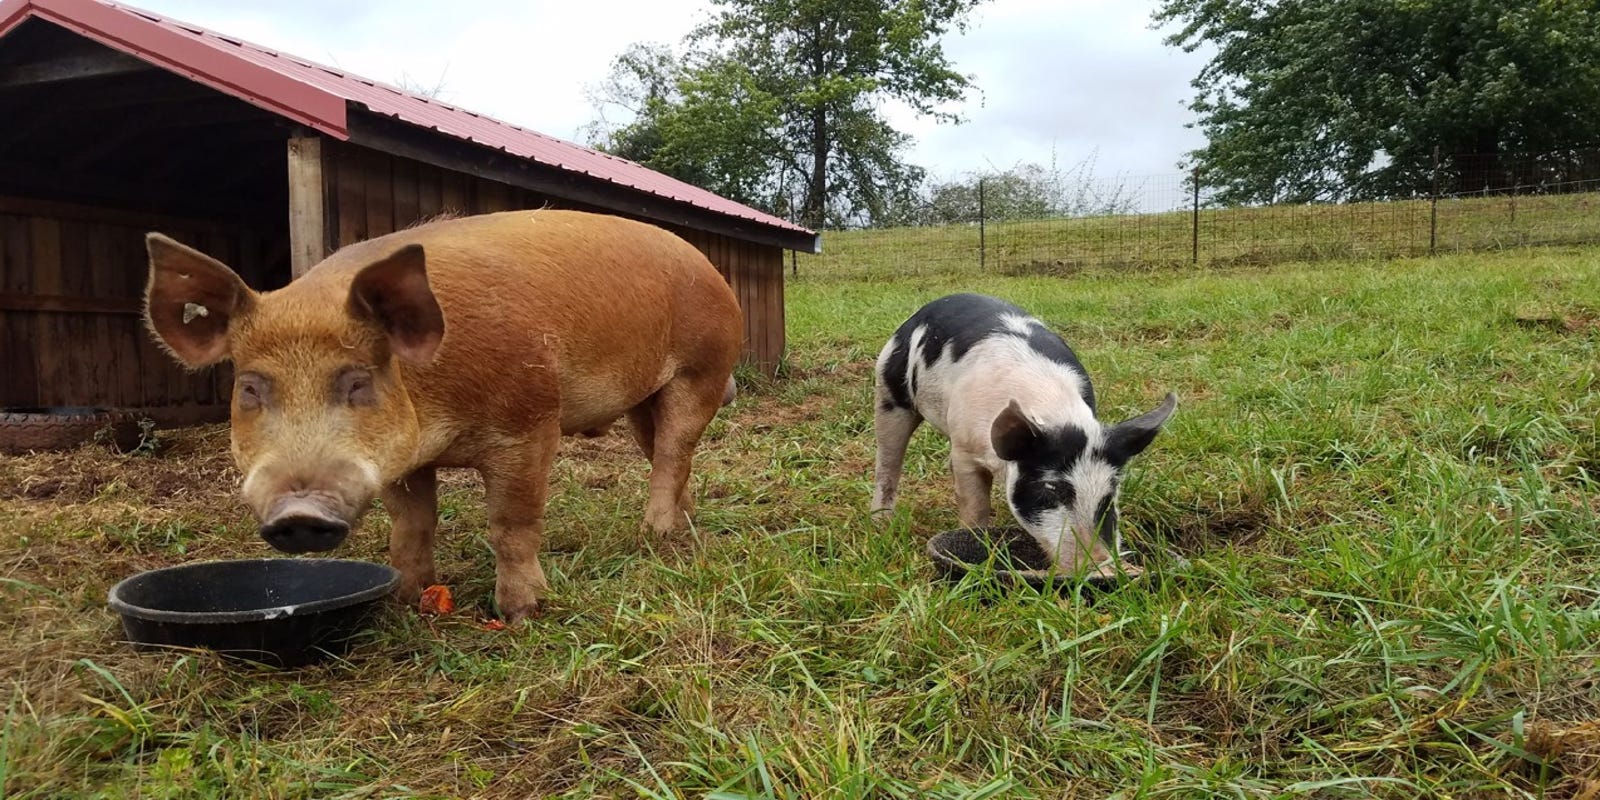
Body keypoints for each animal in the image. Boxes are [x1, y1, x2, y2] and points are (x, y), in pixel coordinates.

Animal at [143, 209, 743, 622]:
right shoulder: (400, 463)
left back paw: (654, 538)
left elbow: (511, 524)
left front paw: (522, 613)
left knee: (674, 450)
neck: (439, 422)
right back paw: (685, 526)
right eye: (250, 388)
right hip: (645, 397)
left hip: (702, 367)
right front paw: (408, 600)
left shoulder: (529, 423)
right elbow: (411, 528)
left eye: (358, 382)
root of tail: (710, 267)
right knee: (668, 454)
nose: (299, 512)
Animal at [871, 293, 1176, 576]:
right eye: (1050, 489)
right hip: (889, 392)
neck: (1054, 410)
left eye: (1109, 495)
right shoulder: (966, 449)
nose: (1101, 567)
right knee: (887, 463)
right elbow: (974, 505)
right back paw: (881, 523)